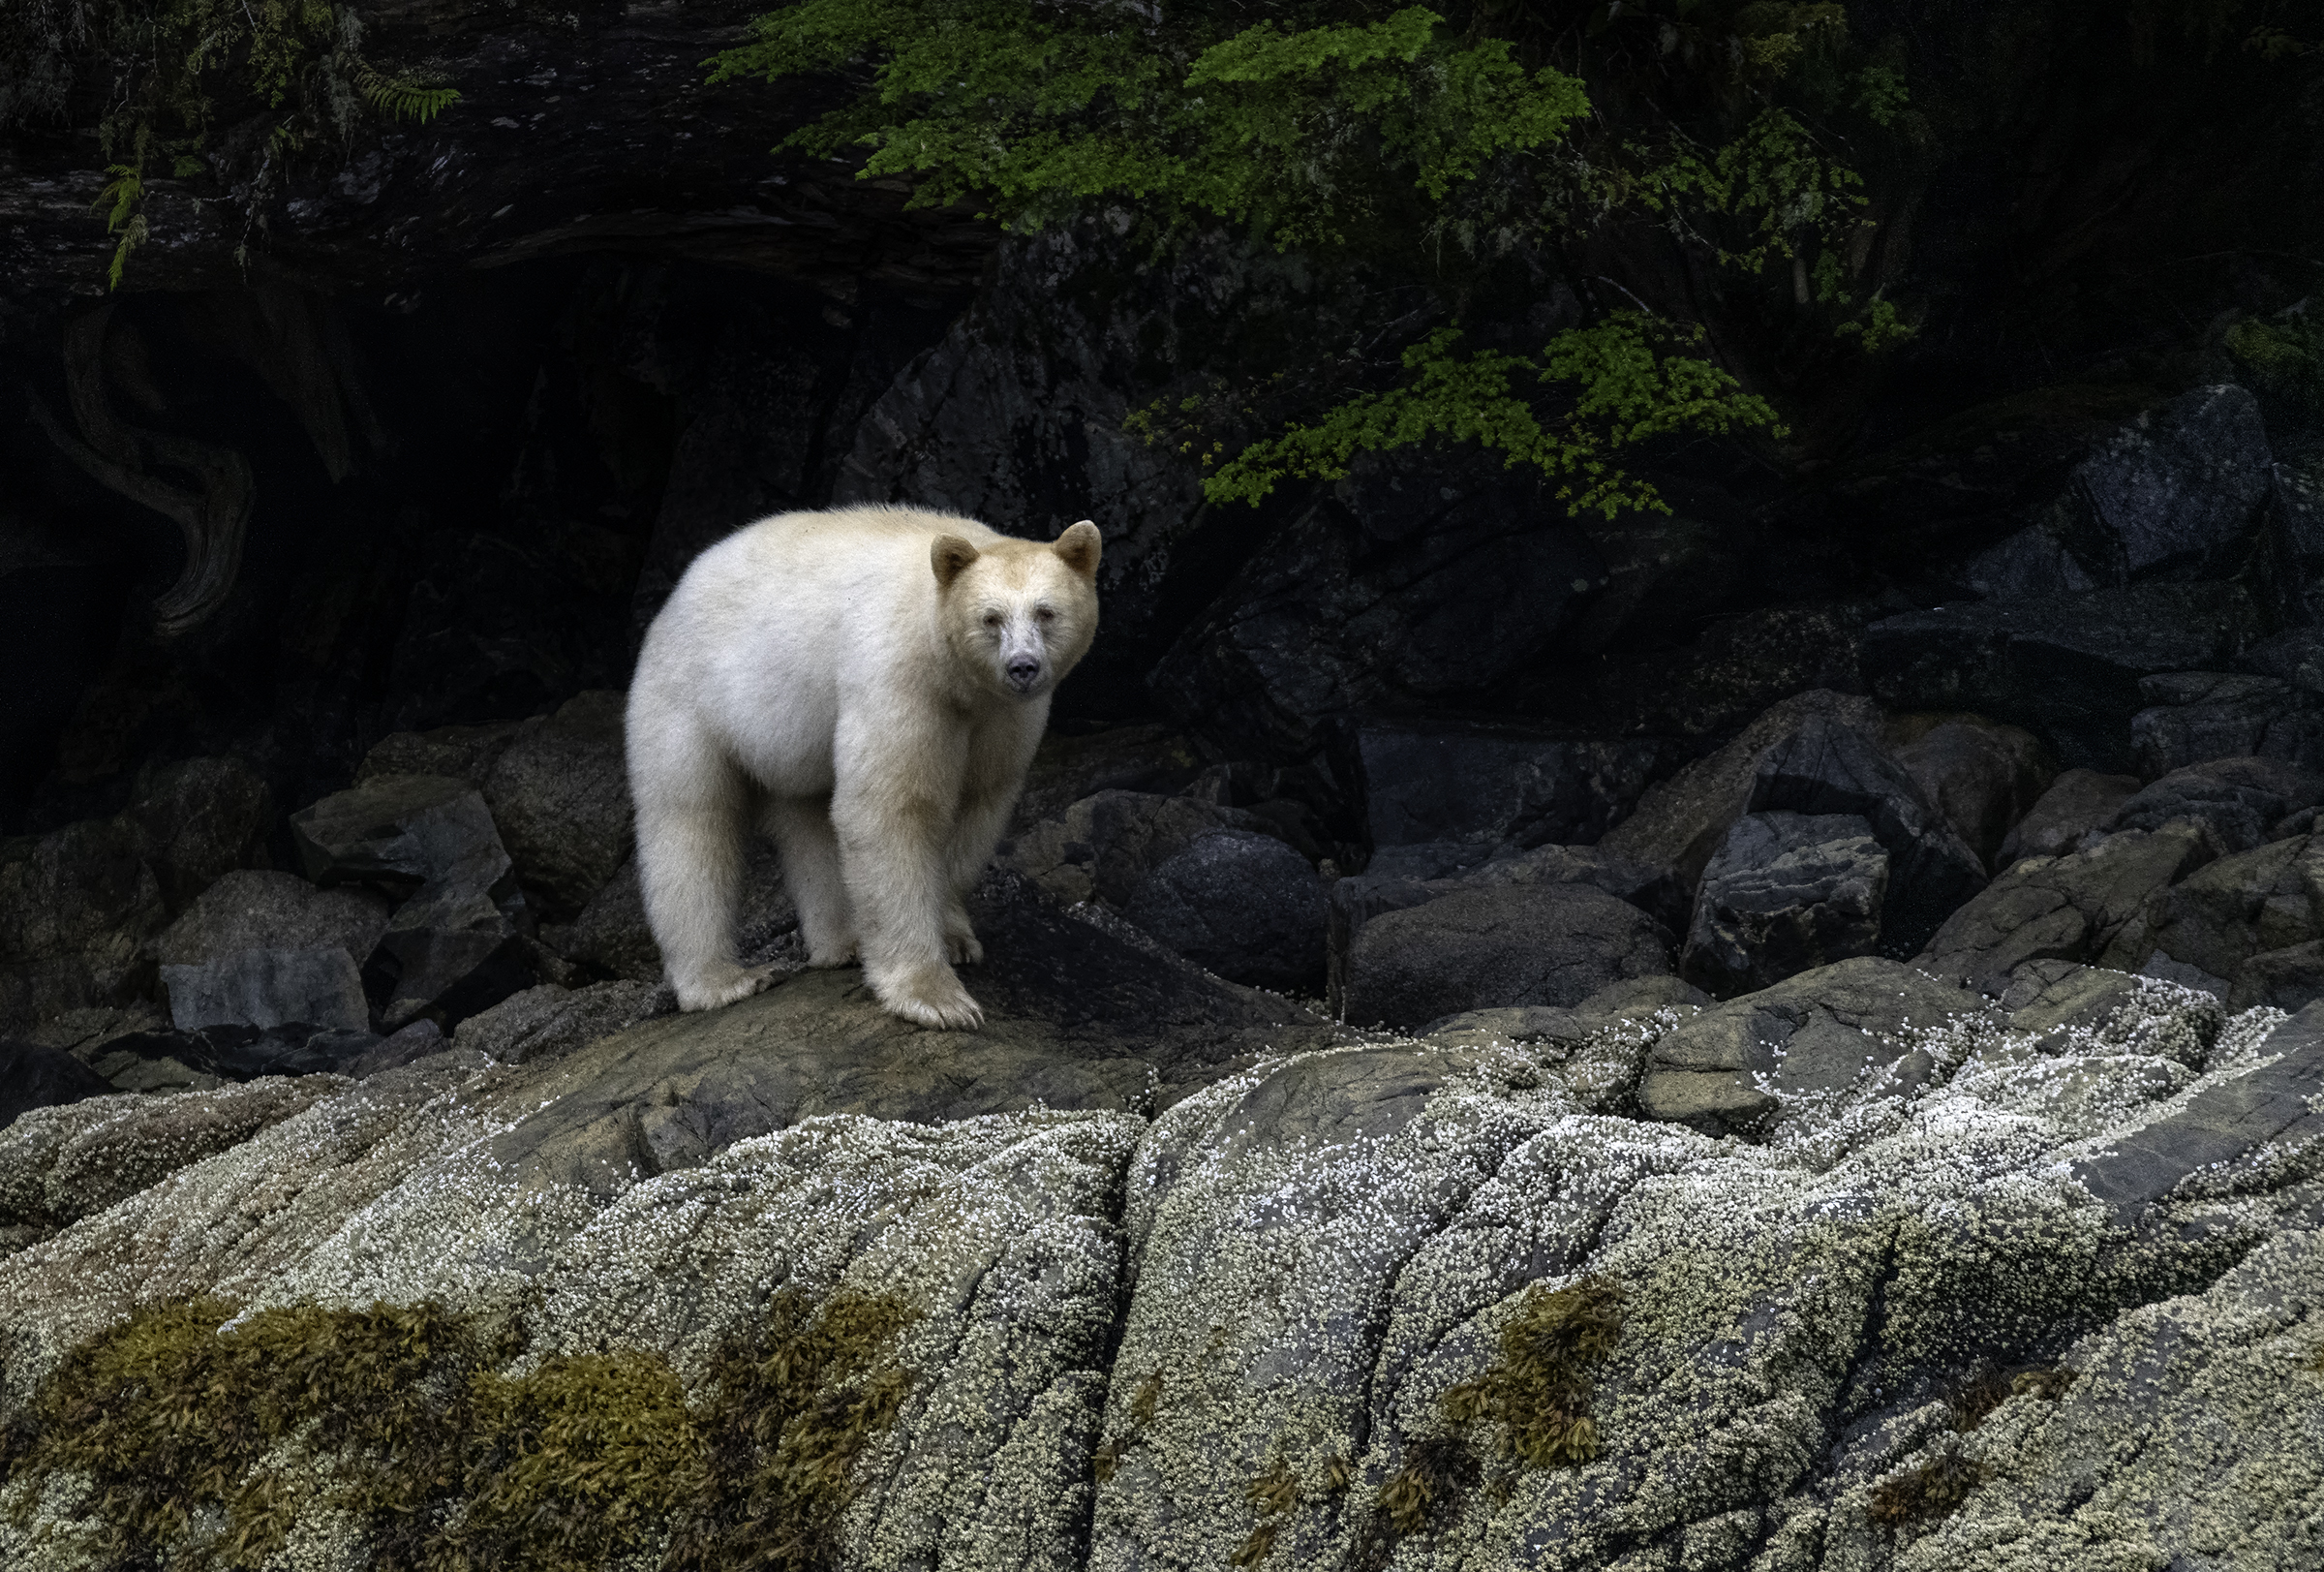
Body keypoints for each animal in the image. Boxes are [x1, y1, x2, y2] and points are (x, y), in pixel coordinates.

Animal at [626, 505, 1102, 1029]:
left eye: (1046, 612)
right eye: (991, 618)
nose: (1022, 667)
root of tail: (677, 593)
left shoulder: (1004, 716)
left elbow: (980, 802)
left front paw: (956, 938)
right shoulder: (901, 676)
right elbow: (890, 809)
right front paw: (937, 998)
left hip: (794, 739)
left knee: (809, 818)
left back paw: (842, 943)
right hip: (688, 699)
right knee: (691, 823)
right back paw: (723, 981)